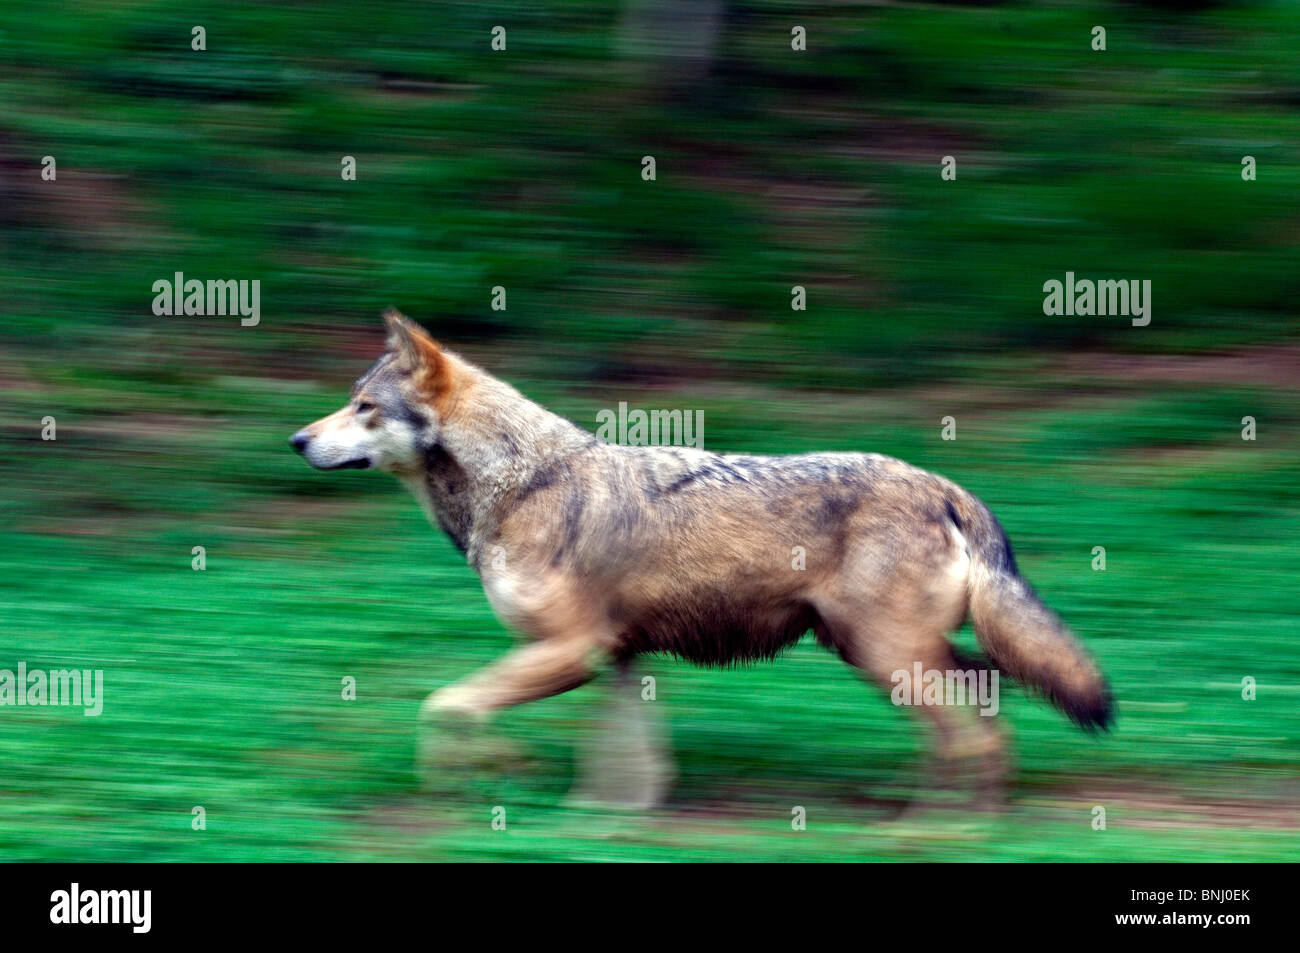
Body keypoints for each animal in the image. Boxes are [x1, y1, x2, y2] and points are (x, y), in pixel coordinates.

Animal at [290, 310, 1113, 808]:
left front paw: (482, 779)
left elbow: (445, 708)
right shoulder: (617, 657)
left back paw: (939, 824)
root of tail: (946, 484)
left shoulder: (570, 650)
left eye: (364, 407)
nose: (297, 441)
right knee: (982, 713)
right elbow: (624, 759)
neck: (521, 484)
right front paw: (602, 816)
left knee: (969, 730)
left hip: (886, 657)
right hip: (884, 653)